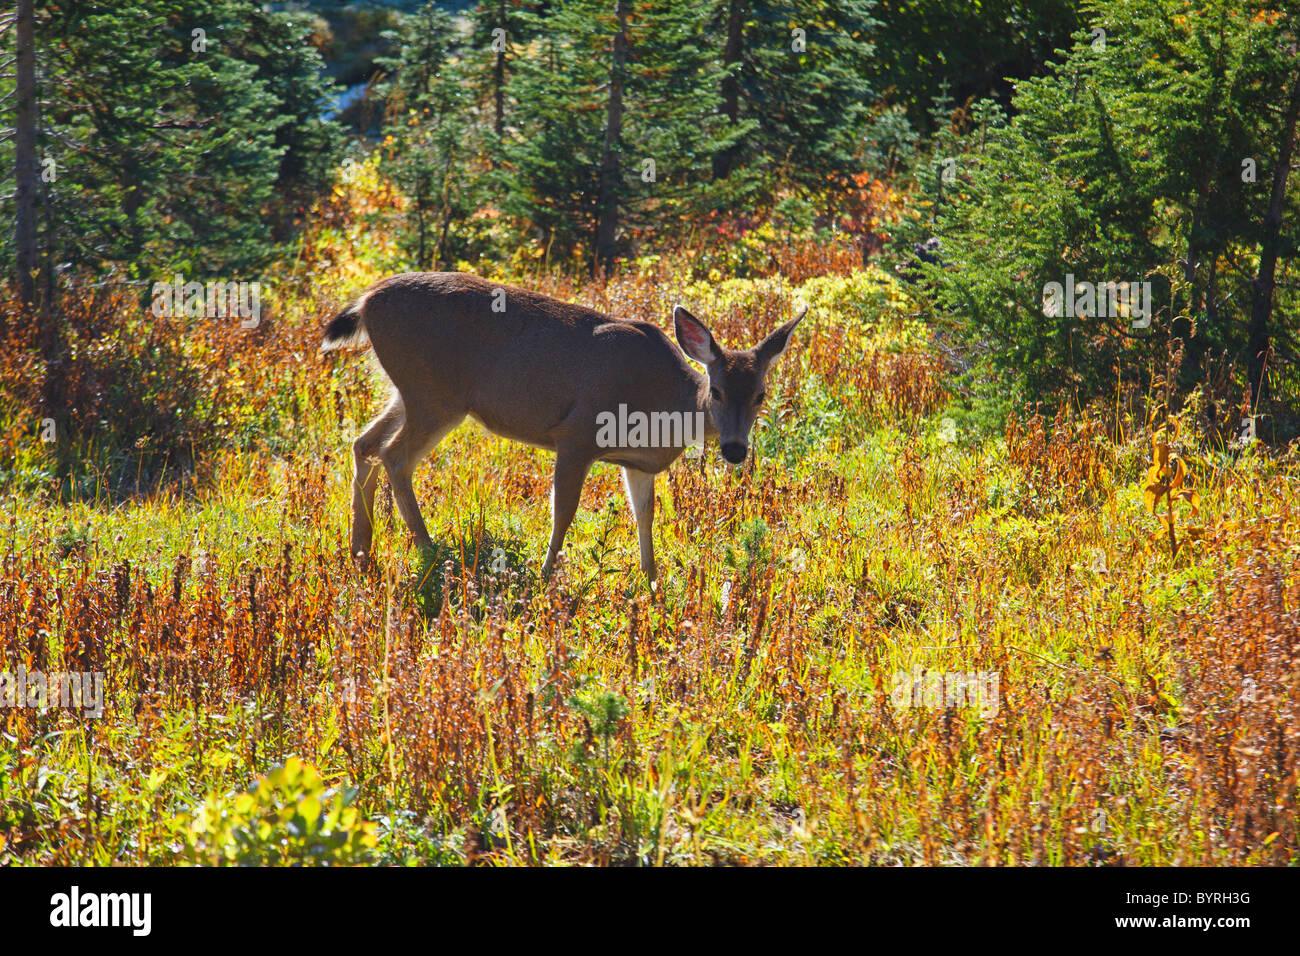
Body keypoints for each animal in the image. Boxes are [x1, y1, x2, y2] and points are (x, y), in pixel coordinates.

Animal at [322, 272, 805, 583]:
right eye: (718, 391)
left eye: (761, 395)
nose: (735, 450)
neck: (666, 407)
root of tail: (365, 301)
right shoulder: (578, 434)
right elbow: (564, 513)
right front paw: (545, 577)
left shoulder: (639, 464)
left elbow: (645, 516)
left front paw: (652, 586)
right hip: (435, 394)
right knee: (394, 455)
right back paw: (430, 553)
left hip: (408, 391)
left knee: (364, 443)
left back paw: (360, 550)